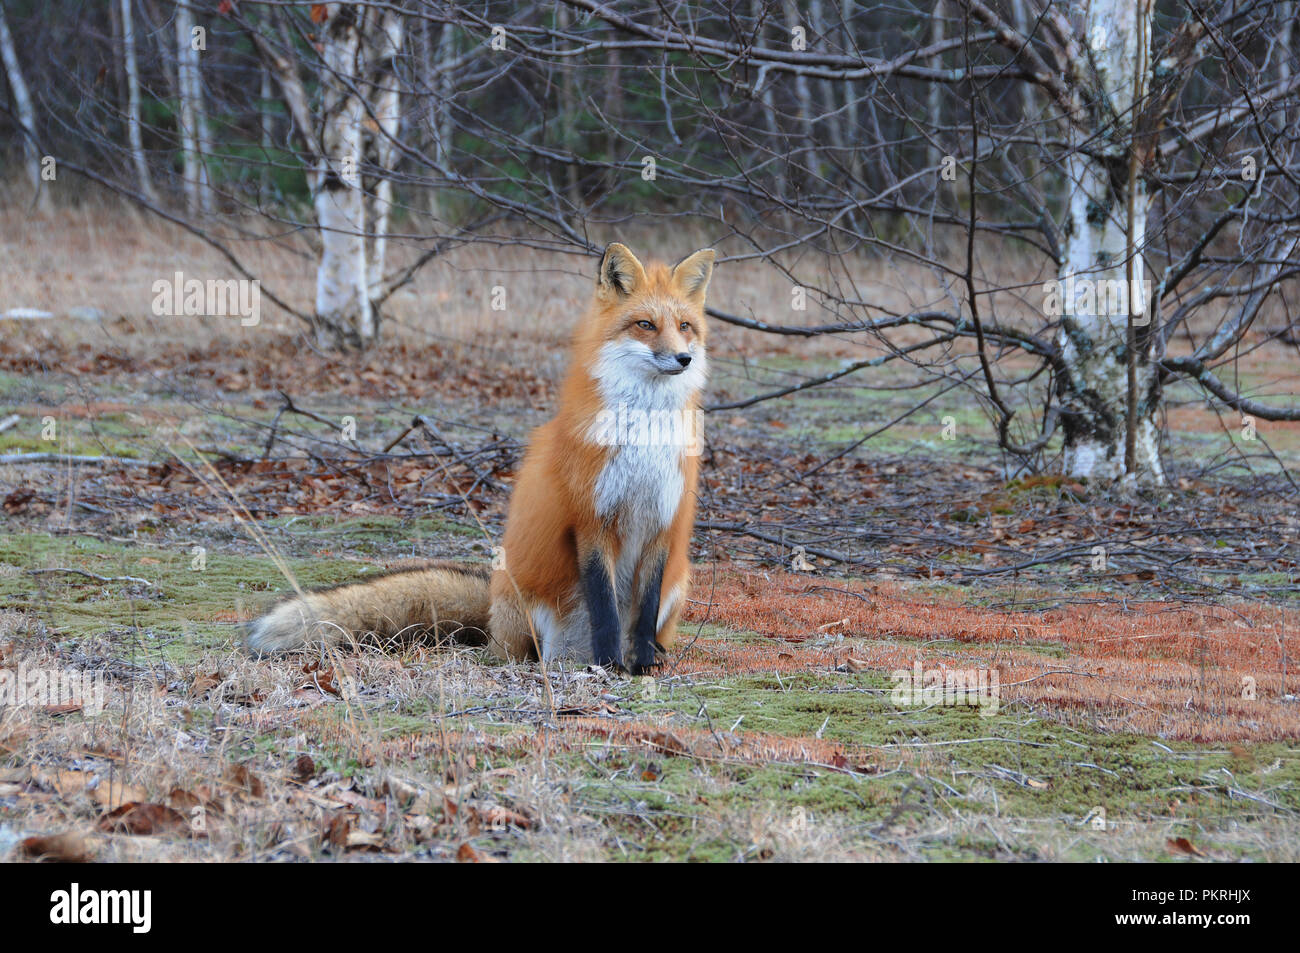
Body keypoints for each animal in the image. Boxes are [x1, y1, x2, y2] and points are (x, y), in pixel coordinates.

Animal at [245, 242, 715, 674]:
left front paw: (642, 664)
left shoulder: (662, 520)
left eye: (685, 326)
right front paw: (610, 663)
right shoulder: (590, 520)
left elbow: (642, 613)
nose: (684, 358)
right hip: (527, 607)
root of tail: (492, 606)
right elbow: (605, 611)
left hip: (680, 580)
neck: (644, 437)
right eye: (645, 325)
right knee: (528, 652)